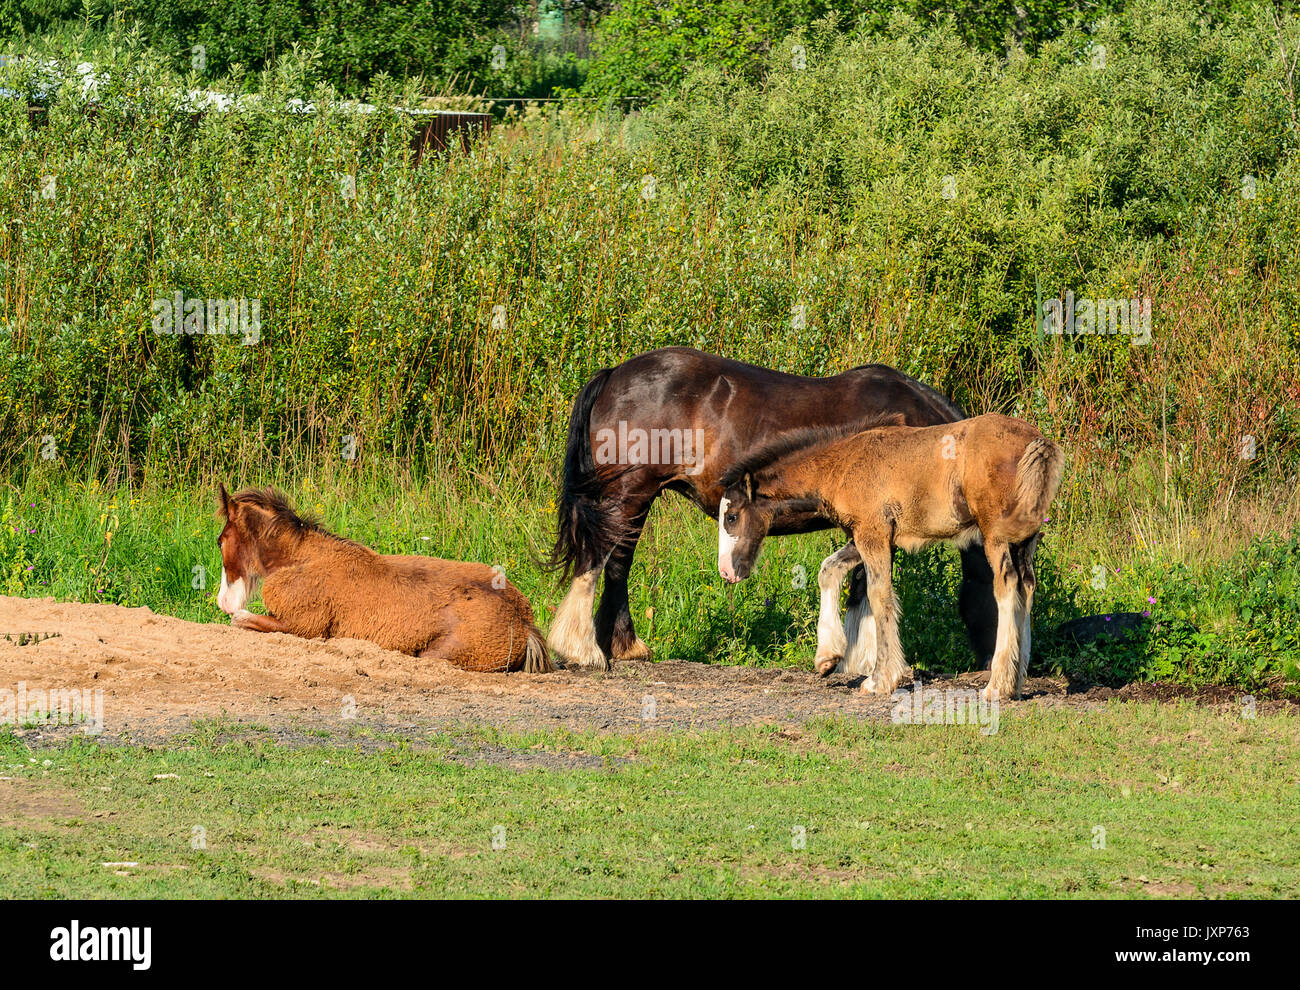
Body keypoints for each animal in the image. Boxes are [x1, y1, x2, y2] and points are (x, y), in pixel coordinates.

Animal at [216, 485, 553, 673]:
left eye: (220, 541)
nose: (223, 601)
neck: (301, 558)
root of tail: (525, 623)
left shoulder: (303, 627)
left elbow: (241, 620)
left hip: (440, 654)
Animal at [546, 346, 998, 672]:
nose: (993, 662)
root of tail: (613, 375)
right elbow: (866, 586)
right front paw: (856, 659)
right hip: (629, 494)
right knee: (601, 560)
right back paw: (584, 649)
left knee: (617, 564)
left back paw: (620, 645)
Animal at [715, 414, 1064, 700]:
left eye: (731, 516)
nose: (727, 572)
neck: (842, 464)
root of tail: (1038, 441)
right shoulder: (867, 537)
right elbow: (828, 570)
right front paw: (828, 657)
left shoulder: (873, 535)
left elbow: (879, 596)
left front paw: (880, 680)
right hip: (1024, 541)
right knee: (1027, 588)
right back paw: (1016, 681)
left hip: (996, 536)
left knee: (1006, 587)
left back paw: (997, 685)